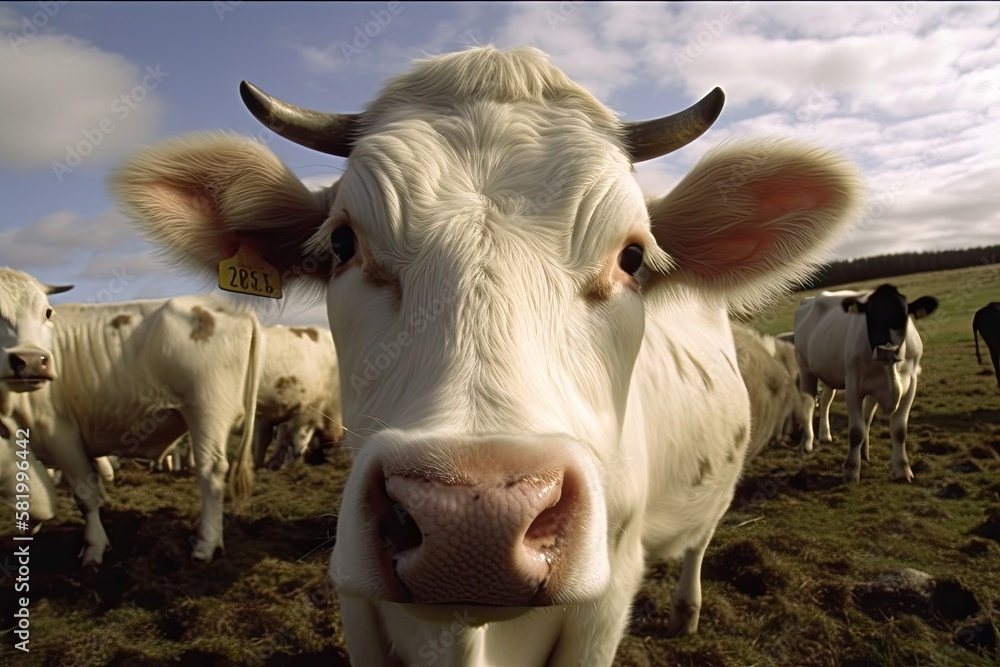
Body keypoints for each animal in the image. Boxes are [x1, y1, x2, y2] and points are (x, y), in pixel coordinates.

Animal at [3, 294, 264, 565]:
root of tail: (222, 303)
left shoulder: (59, 434)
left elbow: (85, 497)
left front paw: (93, 549)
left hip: (207, 410)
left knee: (211, 471)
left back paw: (205, 546)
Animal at [793, 284, 938, 483]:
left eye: (903, 316)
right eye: (870, 316)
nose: (886, 350)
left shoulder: (910, 384)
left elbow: (898, 429)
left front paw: (902, 469)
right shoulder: (853, 385)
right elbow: (856, 430)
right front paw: (851, 470)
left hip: (829, 371)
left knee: (825, 401)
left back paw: (825, 435)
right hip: (806, 368)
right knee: (808, 405)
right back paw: (806, 443)